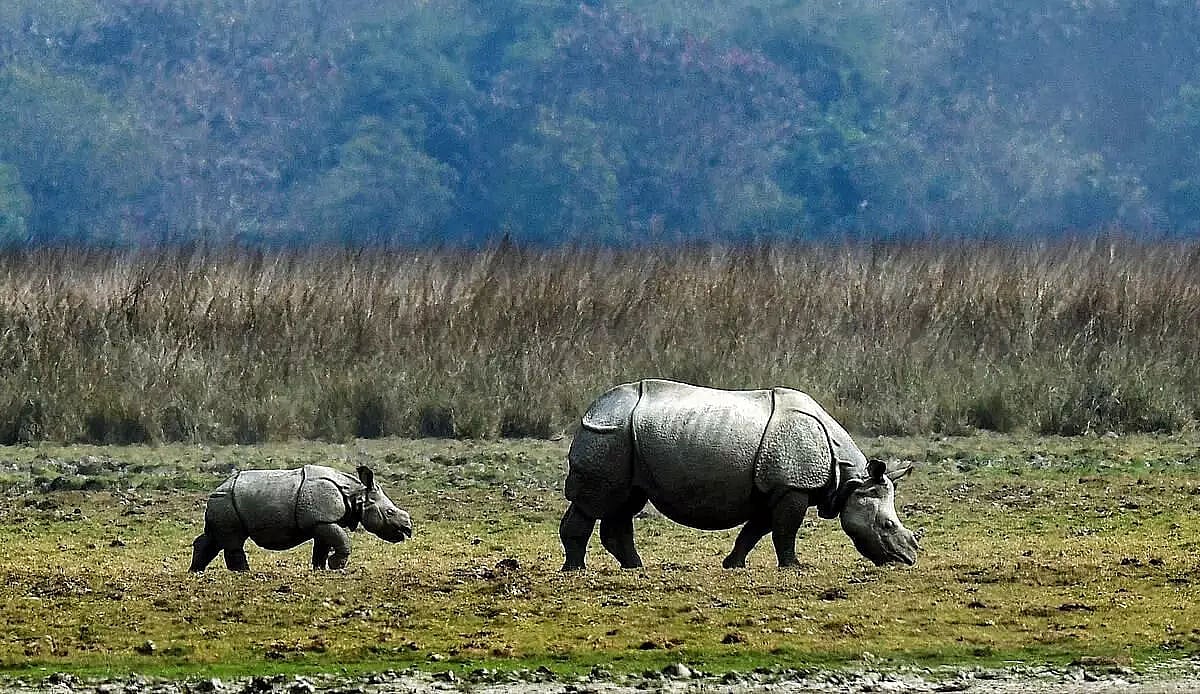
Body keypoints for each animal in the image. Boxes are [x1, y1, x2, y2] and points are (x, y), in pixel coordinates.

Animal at [190, 464, 412, 571]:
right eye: (390, 513)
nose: (408, 529)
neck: (355, 493)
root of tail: (216, 489)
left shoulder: (321, 521)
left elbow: (322, 546)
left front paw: (320, 569)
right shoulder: (322, 519)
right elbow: (342, 540)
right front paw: (336, 565)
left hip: (224, 501)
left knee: (214, 538)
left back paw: (195, 572)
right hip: (227, 501)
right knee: (233, 540)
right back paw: (245, 573)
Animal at [560, 379, 919, 570]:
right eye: (887, 525)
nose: (908, 559)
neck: (851, 478)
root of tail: (594, 407)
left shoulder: (773, 488)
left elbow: (756, 530)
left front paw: (733, 564)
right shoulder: (791, 486)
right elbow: (785, 530)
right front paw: (793, 566)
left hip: (626, 441)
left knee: (626, 502)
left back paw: (636, 567)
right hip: (609, 434)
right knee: (595, 503)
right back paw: (576, 569)